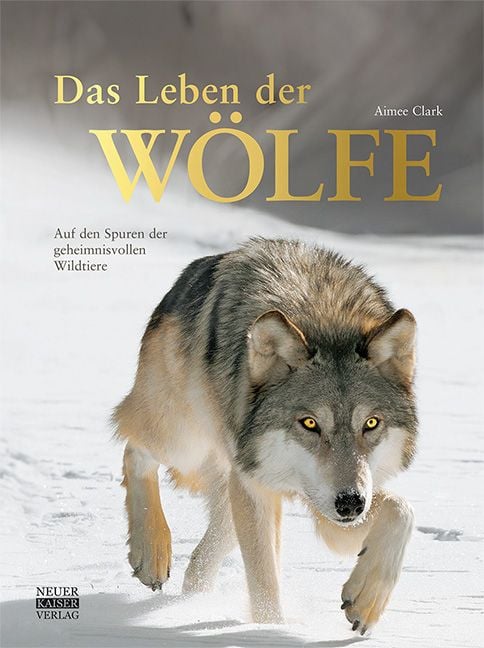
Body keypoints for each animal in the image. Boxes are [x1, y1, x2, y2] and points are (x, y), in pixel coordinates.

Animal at [114, 238, 416, 634]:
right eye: (309, 423)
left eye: (371, 423)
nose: (350, 503)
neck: (324, 316)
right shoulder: (259, 487)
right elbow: (263, 580)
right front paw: (270, 630)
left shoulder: (331, 507)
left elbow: (402, 510)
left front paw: (366, 600)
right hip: (184, 442)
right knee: (134, 448)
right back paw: (151, 554)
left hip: (235, 482)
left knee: (206, 552)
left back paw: (193, 600)